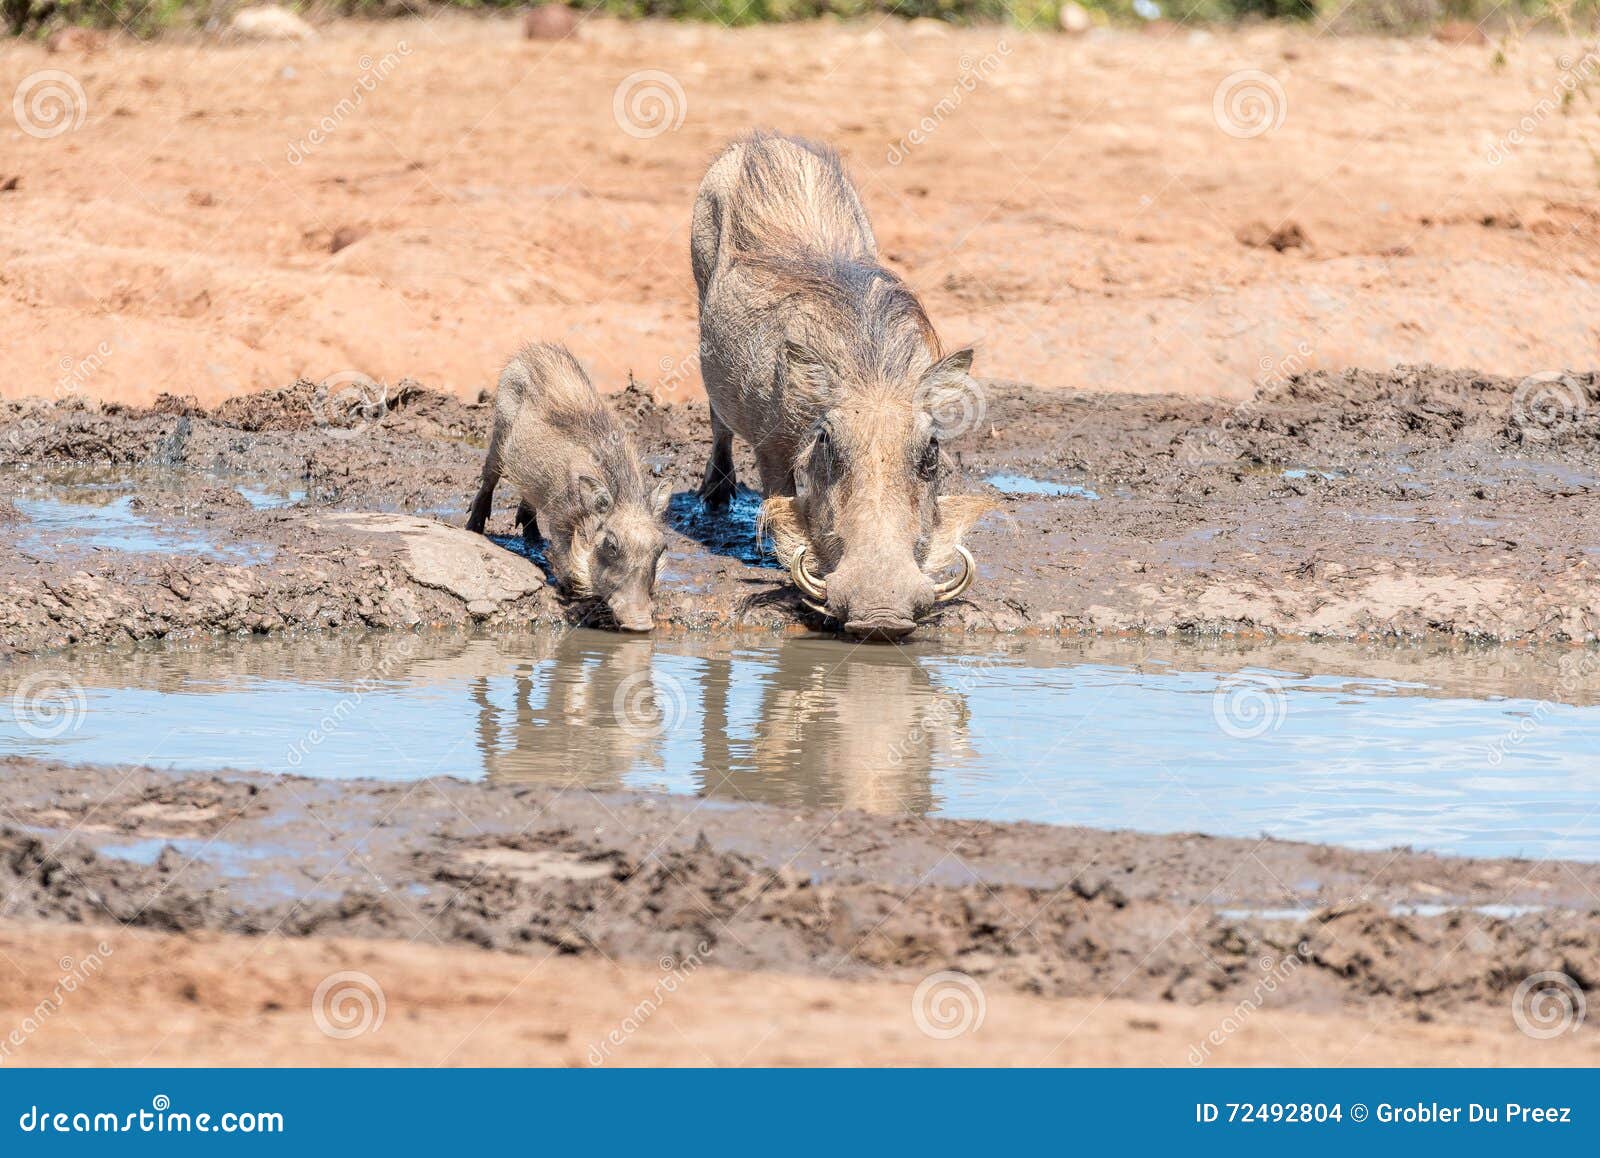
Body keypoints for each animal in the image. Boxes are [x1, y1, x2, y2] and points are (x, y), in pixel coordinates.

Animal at [466, 342, 670, 632]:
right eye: (611, 545)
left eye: (661, 547)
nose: (640, 624)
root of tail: (533, 349)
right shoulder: (562, 522)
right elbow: (567, 563)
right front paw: (573, 597)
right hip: (501, 433)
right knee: (489, 477)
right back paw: (474, 528)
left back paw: (533, 538)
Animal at [689, 131, 992, 640]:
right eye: (826, 442)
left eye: (931, 450)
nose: (881, 616)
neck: (870, 371)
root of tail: (764, 140)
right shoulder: (773, 448)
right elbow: (779, 502)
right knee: (717, 420)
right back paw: (715, 498)